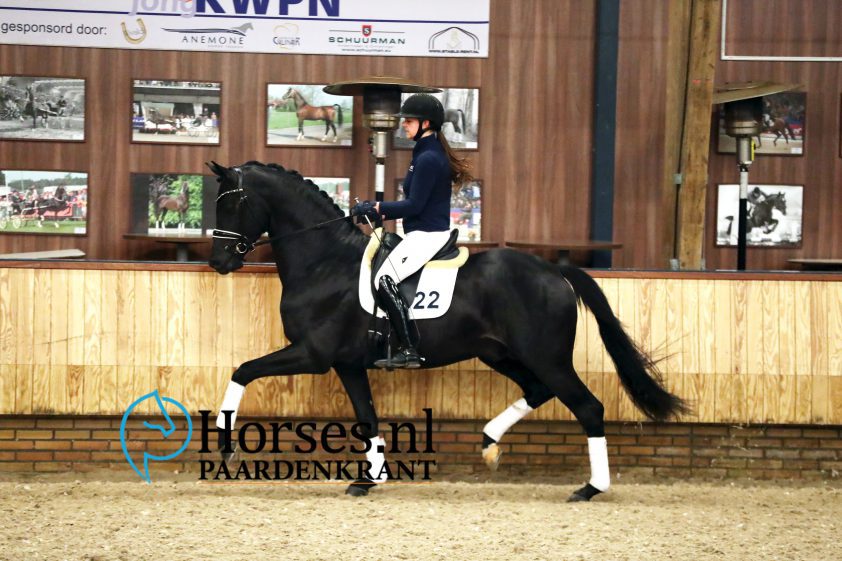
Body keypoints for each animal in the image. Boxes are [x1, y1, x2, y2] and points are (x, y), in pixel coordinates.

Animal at [206, 161, 689, 501]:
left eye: (232, 203)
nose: (219, 262)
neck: (324, 261)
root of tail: (554, 271)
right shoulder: (346, 363)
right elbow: (367, 416)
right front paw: (370, 479)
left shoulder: (313, 353)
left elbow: (242, 370)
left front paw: (227, 445)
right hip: (500, 353)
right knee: (537, 391)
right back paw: (490, 441)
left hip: (546, 356)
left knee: (588, 407)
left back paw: (590, 488)